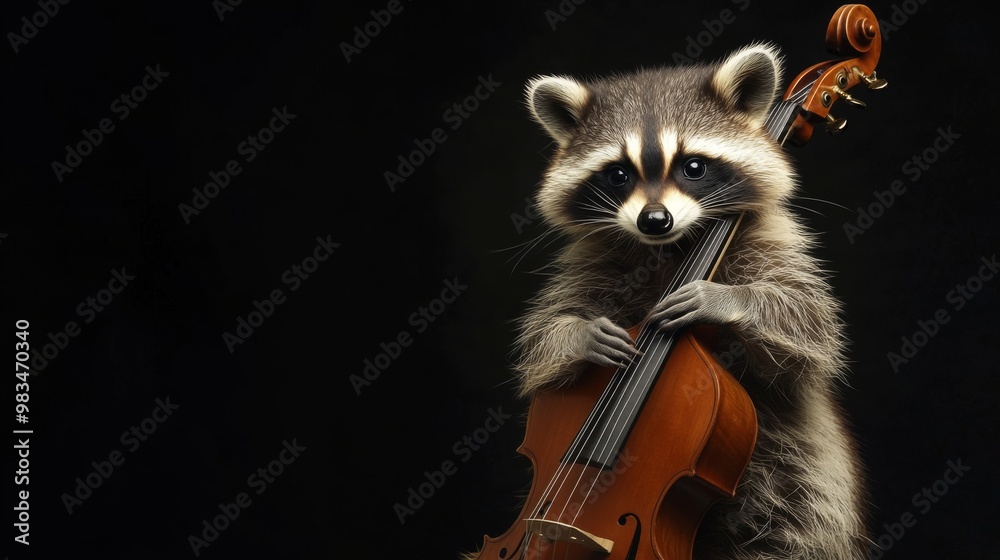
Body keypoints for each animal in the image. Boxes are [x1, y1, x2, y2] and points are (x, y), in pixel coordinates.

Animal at [511, 44, 872, 559]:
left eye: (694, 167)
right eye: (618, 174)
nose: (653, 220)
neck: (673, 245)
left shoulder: (774, 239)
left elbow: (808, 324)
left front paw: (721, 299)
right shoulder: (591, 257)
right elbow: (545, 332)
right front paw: (583, 334)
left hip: (803, 480)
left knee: (792, 530)